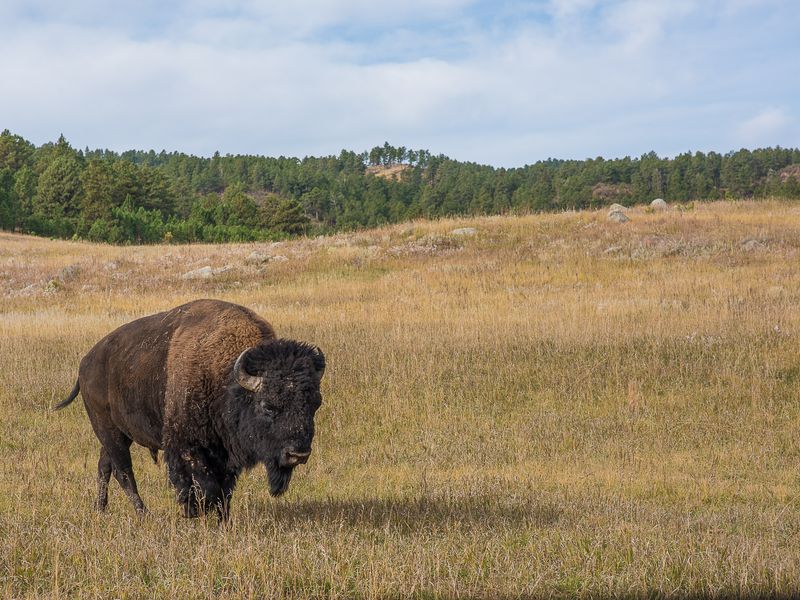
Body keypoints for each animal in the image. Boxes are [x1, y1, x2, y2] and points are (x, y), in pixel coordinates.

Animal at [55, 299, 325, 520]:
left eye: (316, 404)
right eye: (267, 405)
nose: (298, 454)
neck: (223, 377)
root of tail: (86, 363)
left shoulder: (223, 453)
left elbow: (224, 488)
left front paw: (222, 519)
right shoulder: (188, 447)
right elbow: (202, 484)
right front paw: (194, 513)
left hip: (118, 434)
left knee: (105, 466)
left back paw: (100, 509)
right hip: (108, 430)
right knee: (123, 471)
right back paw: (144, 514)